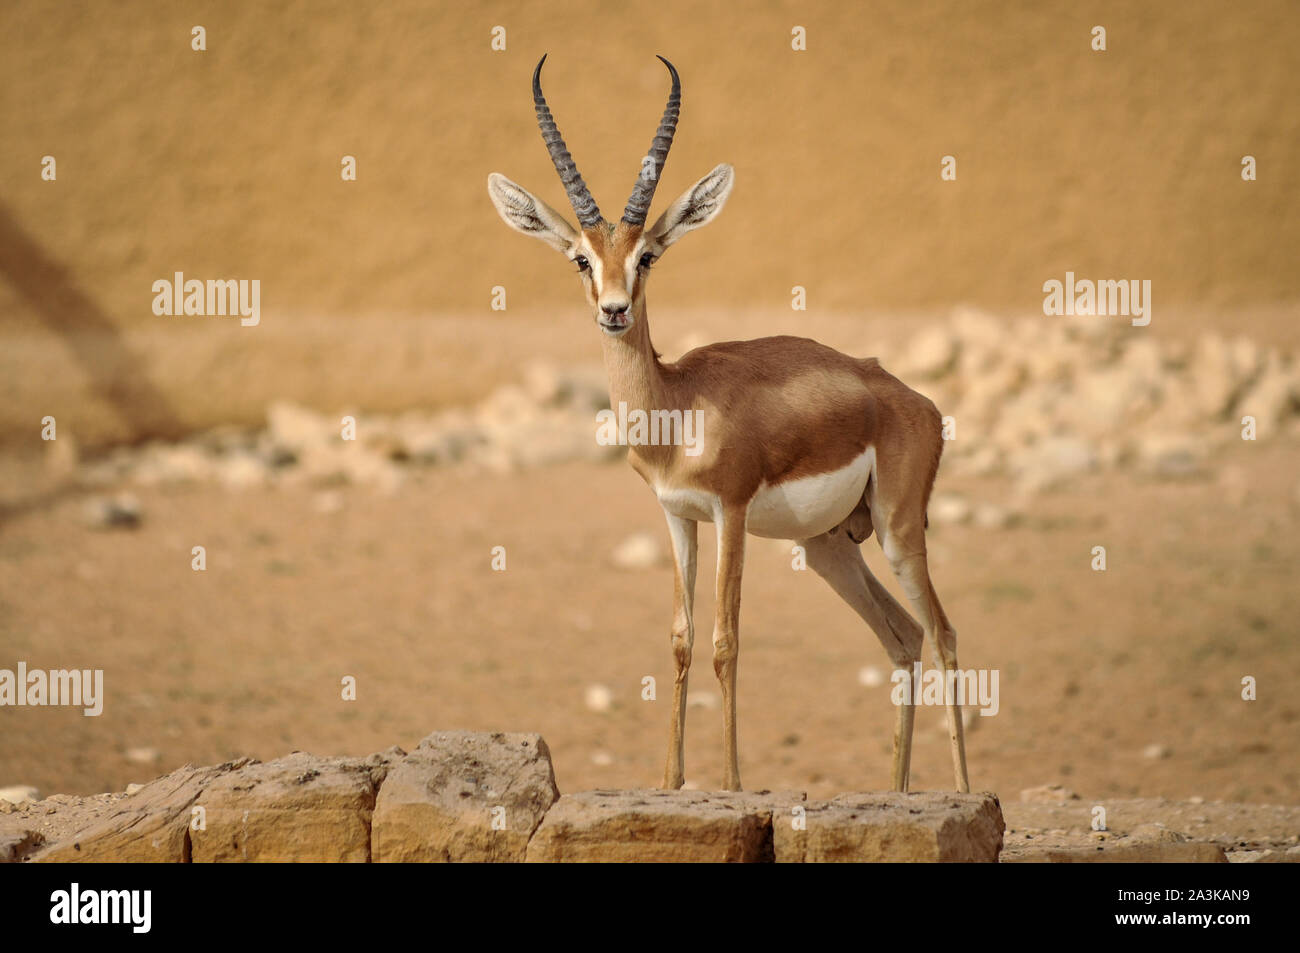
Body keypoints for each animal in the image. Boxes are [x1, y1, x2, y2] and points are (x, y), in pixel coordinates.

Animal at [487, 55, 970, 794]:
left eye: (647, 255)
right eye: (580, 258)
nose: (614, 310)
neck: (678, 406)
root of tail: (913, 399)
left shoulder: (731, 511)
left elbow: (725, 641)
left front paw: (733, 785)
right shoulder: (678, 515)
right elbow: (681, 640)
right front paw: (671, 782)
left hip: (898, 530)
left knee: (942, 634)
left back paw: (967, 791)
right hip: (830, 547)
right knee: (903, 636)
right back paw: (898, 792)